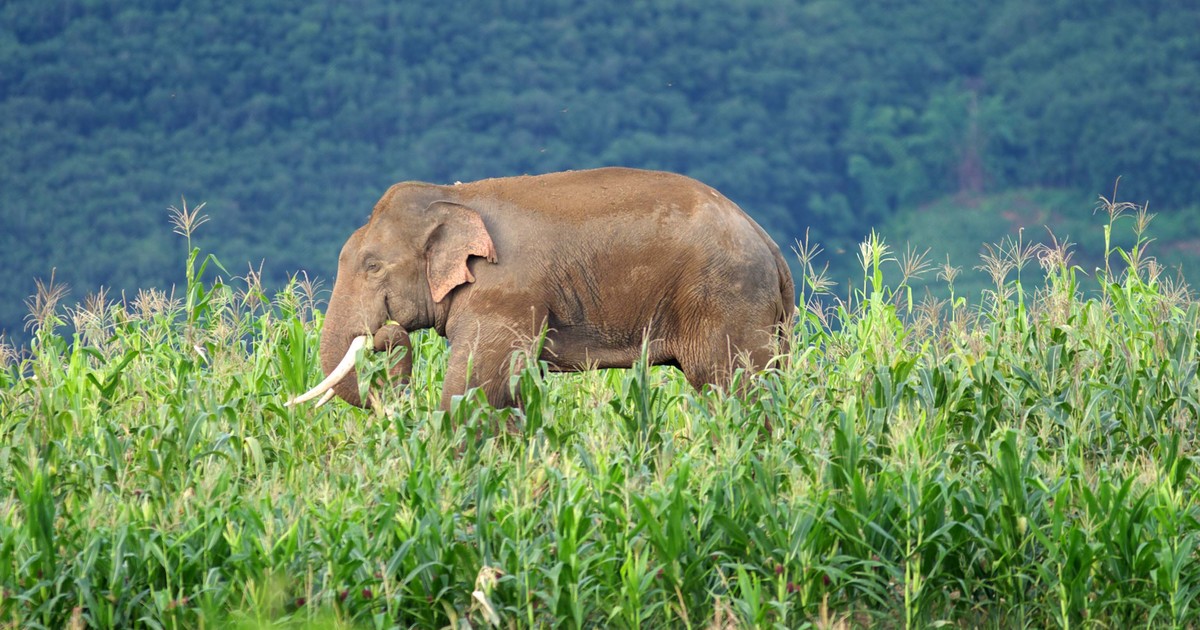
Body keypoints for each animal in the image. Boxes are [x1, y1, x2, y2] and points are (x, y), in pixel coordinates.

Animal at [288, 167, 795, 411]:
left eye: (372, 266)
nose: (383, 335)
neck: (455, 198)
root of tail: (772, 247)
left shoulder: (503, 294)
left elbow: (475, 386)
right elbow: (508, 391)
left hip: (726, 302)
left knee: (734, 388)